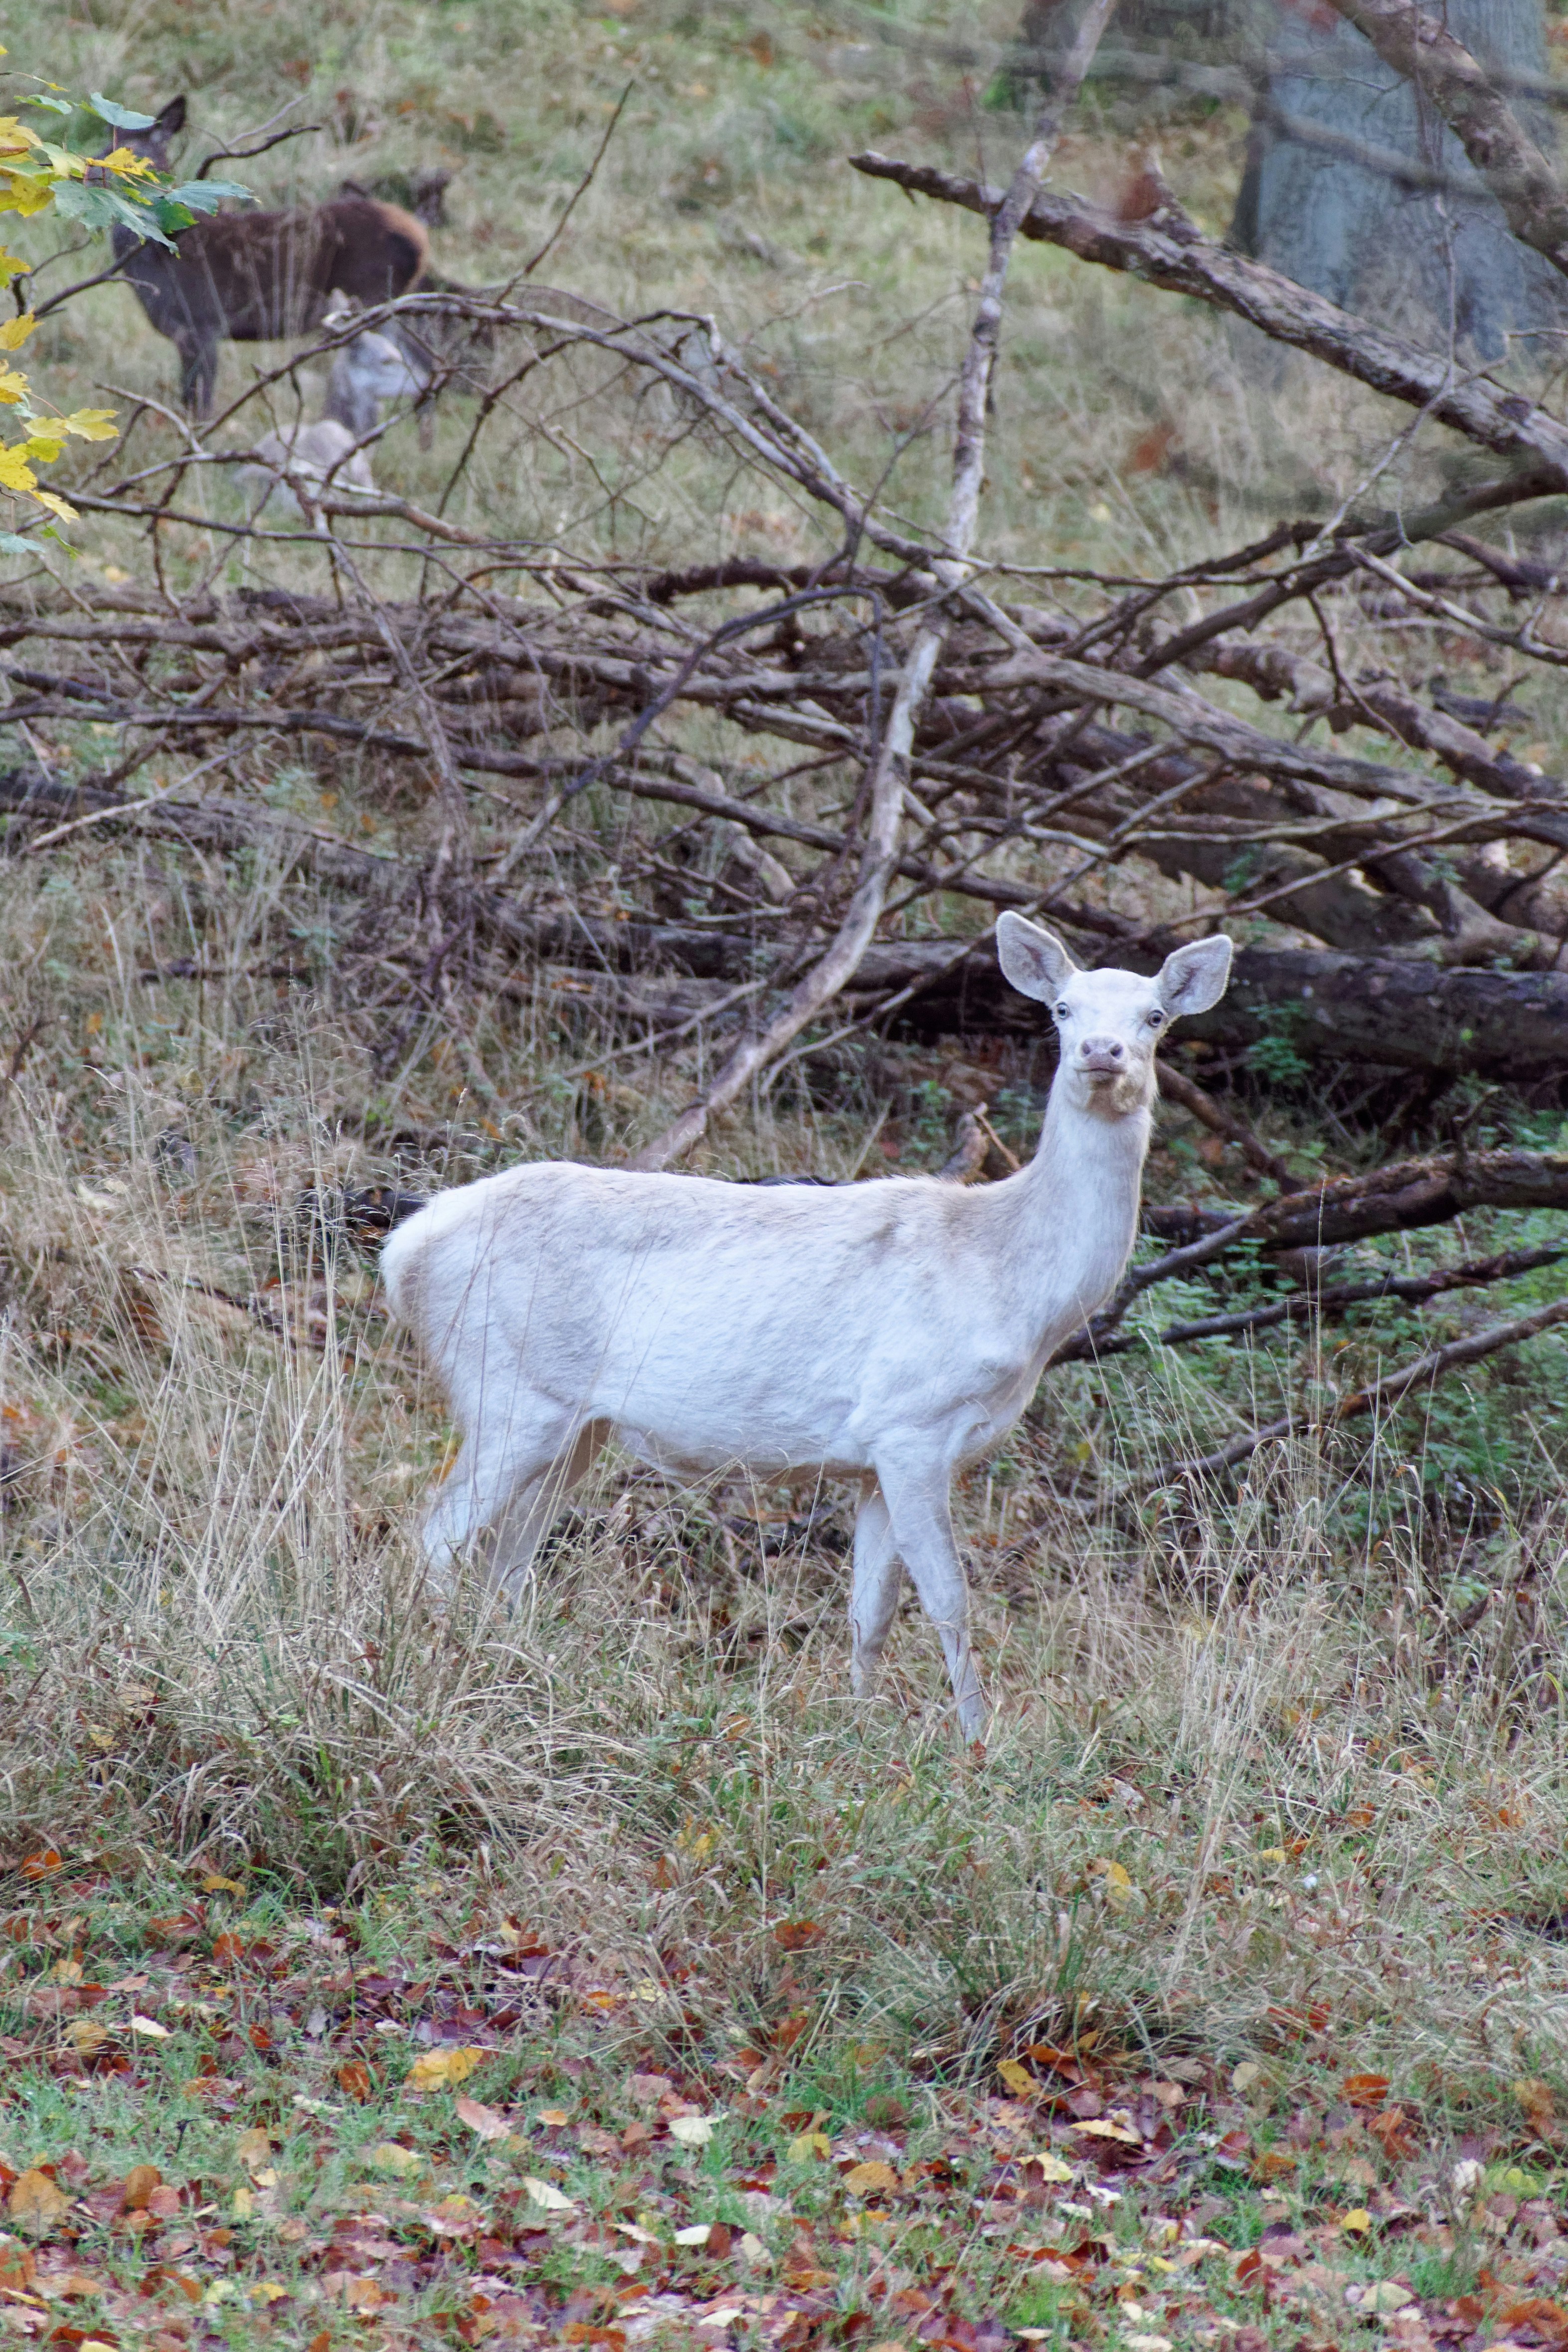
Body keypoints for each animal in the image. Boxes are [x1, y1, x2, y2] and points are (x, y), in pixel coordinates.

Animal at [108, 98, 429, 417]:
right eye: (109, 148)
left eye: (135, 155)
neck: (156, 258)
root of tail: (422, 242)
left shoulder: (203, 324)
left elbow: (201, 403)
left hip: (371, 294)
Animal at [379, 918, 1233, 1739]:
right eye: (1061, 1009)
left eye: (1154, 1016)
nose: (1101, 1052)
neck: (1009, 1279)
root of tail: (406, 1247)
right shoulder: (911, 1421)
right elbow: (950, 1597)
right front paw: (978, 1742)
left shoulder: (874, 1456)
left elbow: (870, 1611)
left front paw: (856, 1723)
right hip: (509, 1386)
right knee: (439, 1533)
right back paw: (442, 1658)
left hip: (573, 1421)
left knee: (508, 1555)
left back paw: (514, 1665)